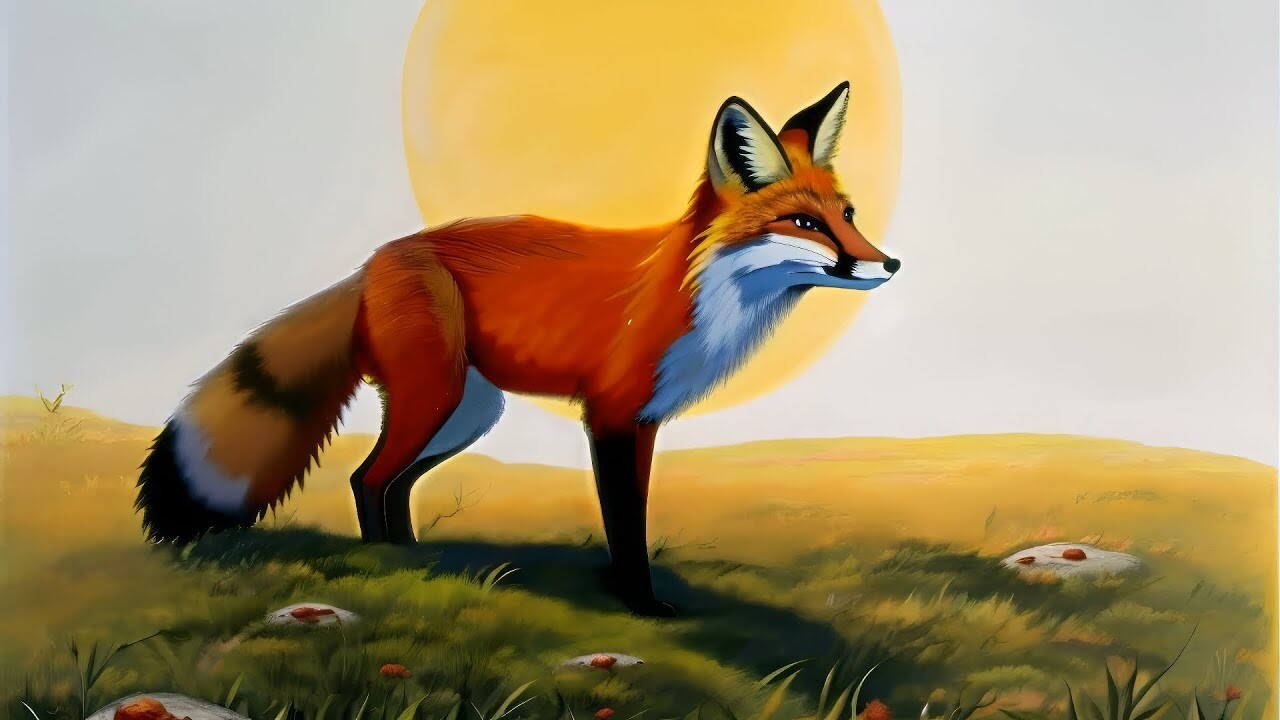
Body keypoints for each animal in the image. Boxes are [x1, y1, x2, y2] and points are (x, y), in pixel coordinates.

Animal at [136, 81, 900, 616]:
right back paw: (387, 563)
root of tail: (374, 261)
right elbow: (625, 524)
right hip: (435, 399)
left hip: (466, 414)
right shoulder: (612, 415)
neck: (698, 293)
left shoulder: (645, 422)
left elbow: (634, 514)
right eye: (804, 224)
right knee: (366, 477)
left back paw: (413, 554)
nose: (888, 263)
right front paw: (642, 605)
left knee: (391, 480)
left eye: (848, 216)